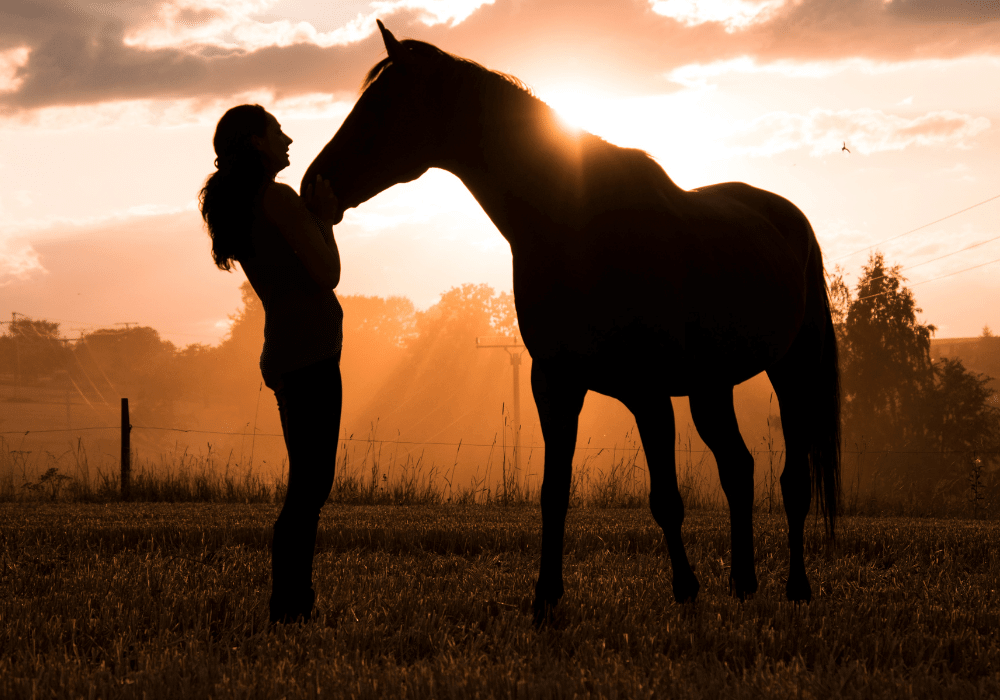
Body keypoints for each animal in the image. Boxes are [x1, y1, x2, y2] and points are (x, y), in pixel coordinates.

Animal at [304, 21, 841, 621]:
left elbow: (666, 498)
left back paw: (796, 586)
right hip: (711, 387)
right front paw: (545, 597)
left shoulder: (647, 391)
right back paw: (743, 581)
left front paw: (685, 589)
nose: (313, 184)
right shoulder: (554, 383)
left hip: (793, 373)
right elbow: (553, 493)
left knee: (793, 481)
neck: (575, 225)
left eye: (382, 105)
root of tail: (789, 218)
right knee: (739, 470)